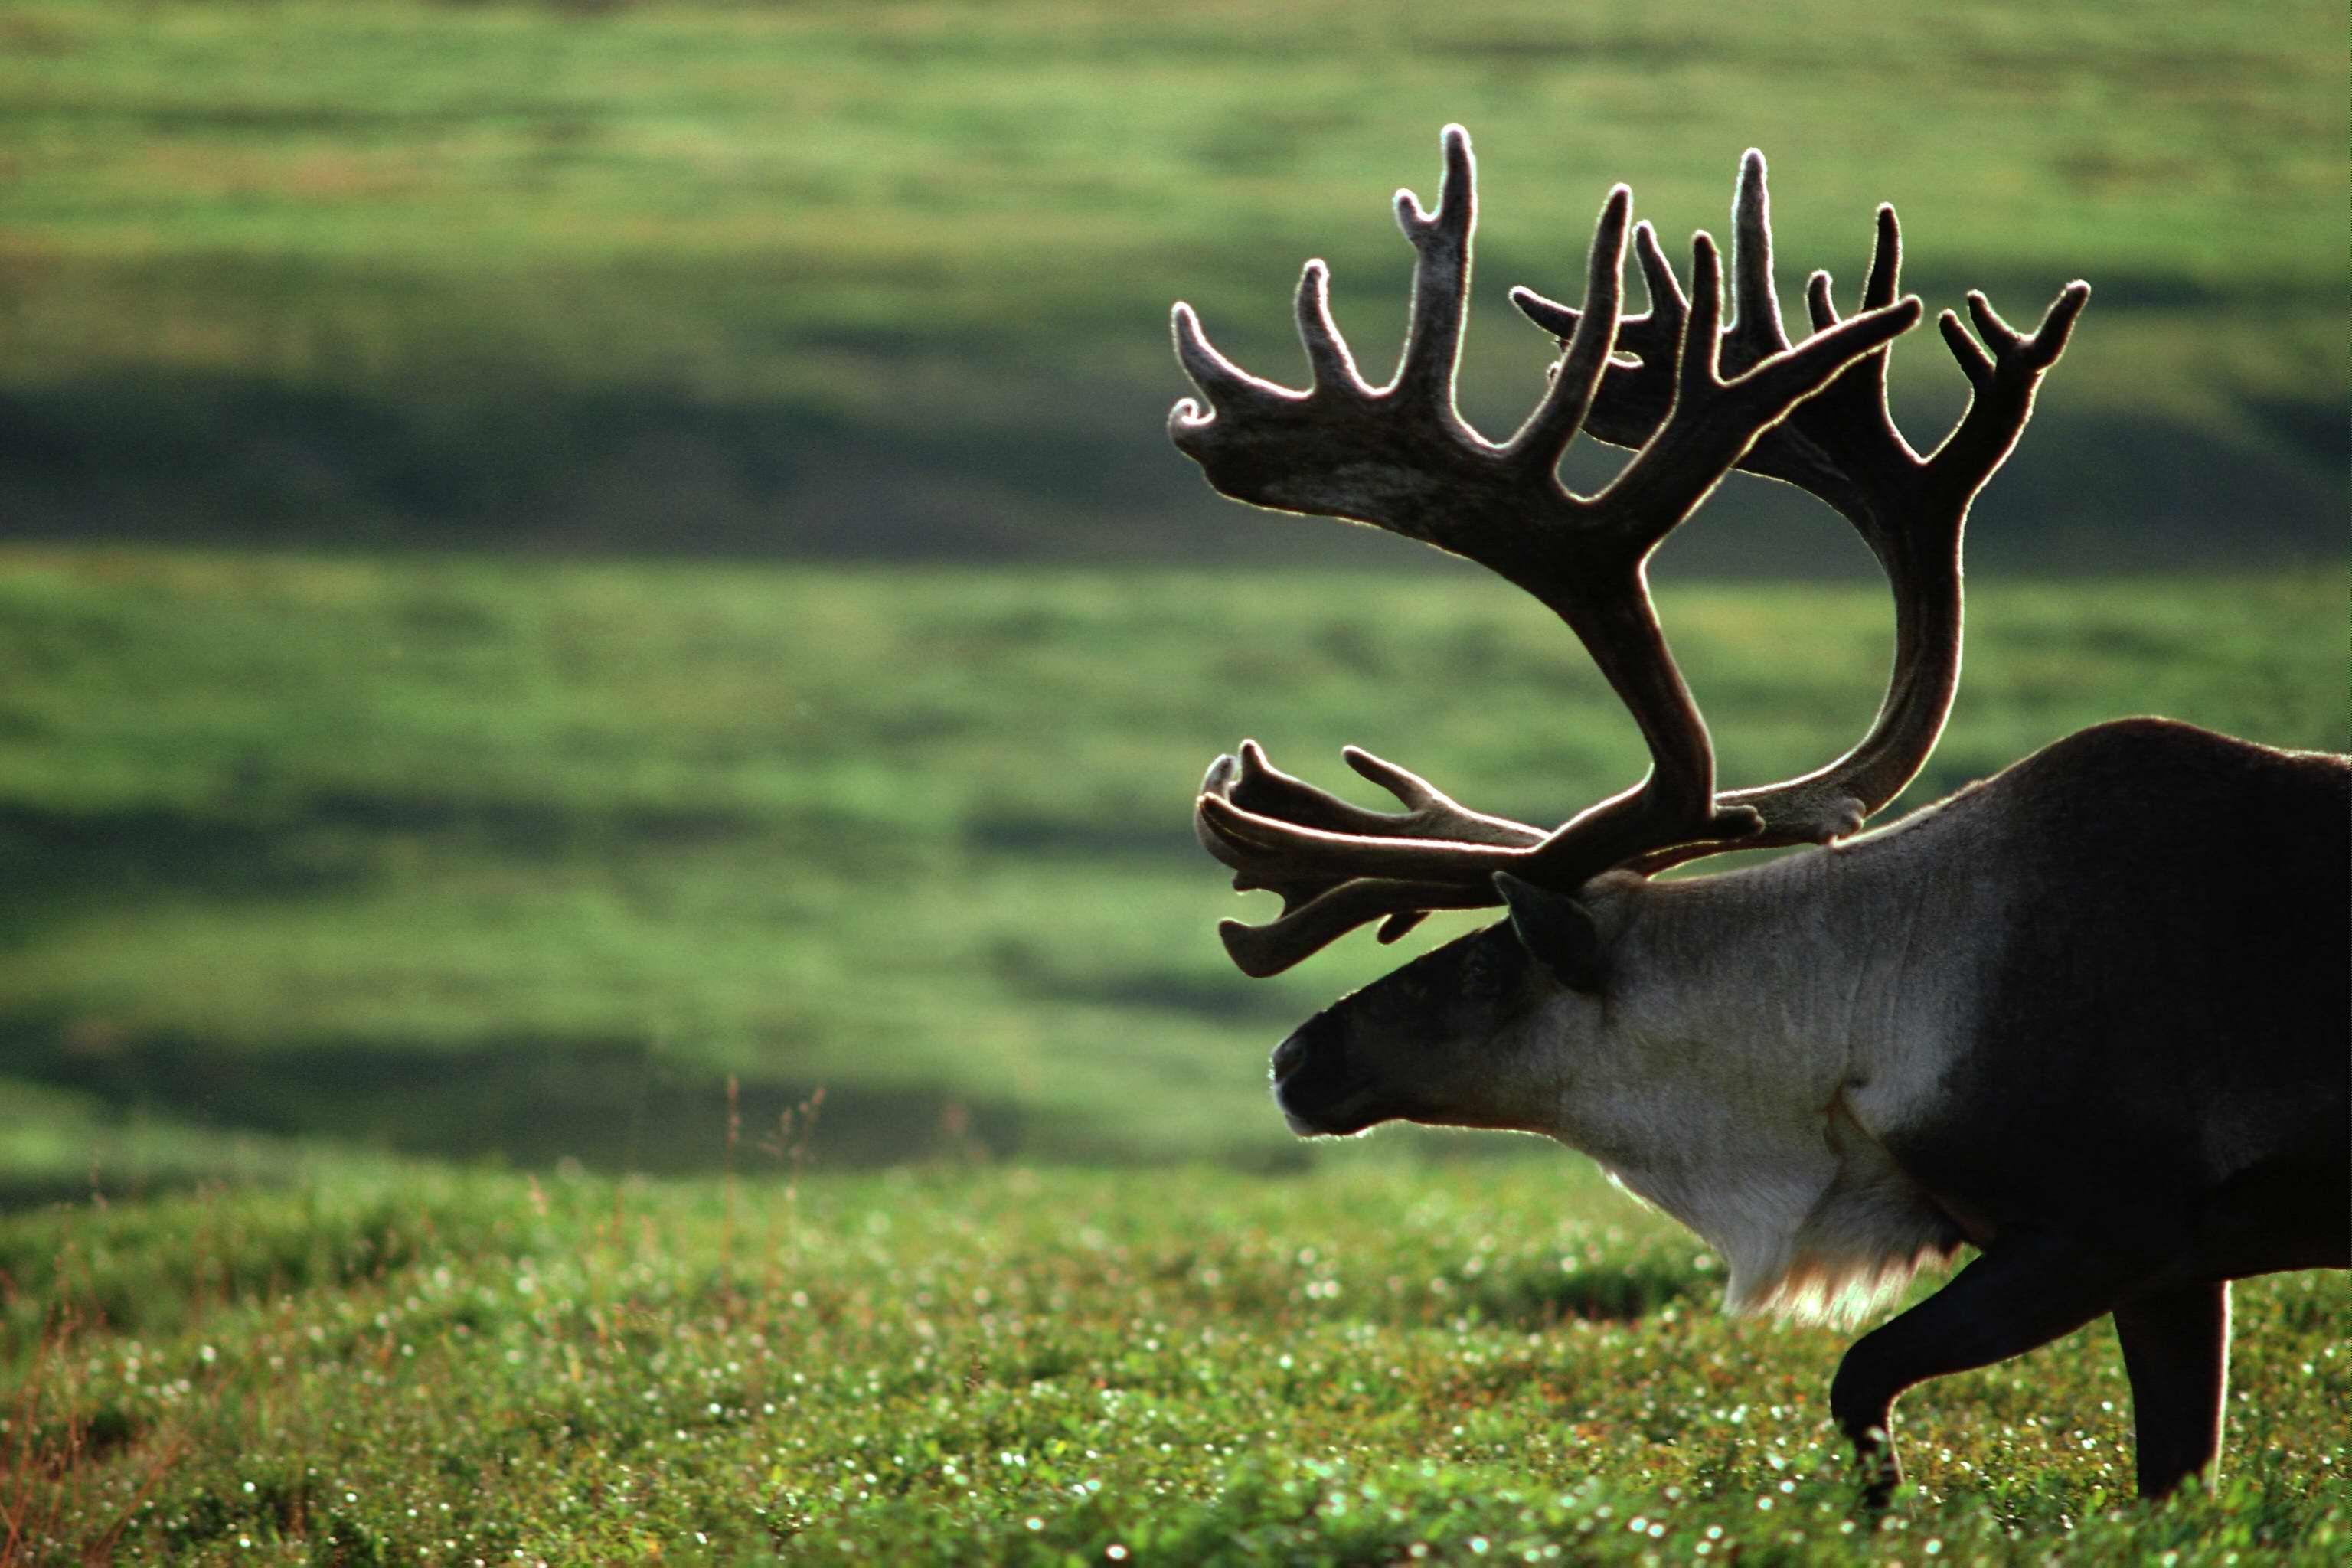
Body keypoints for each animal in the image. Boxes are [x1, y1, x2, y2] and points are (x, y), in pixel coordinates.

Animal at [1168, 126, 2350, 1506]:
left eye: (1480, 966)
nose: (1295, 1060)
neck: (1873, 1017)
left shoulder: (2109, 1220)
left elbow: (1859, 1379)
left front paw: (1876, 1506)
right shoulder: (2175, 1265)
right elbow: (2172, 1468)